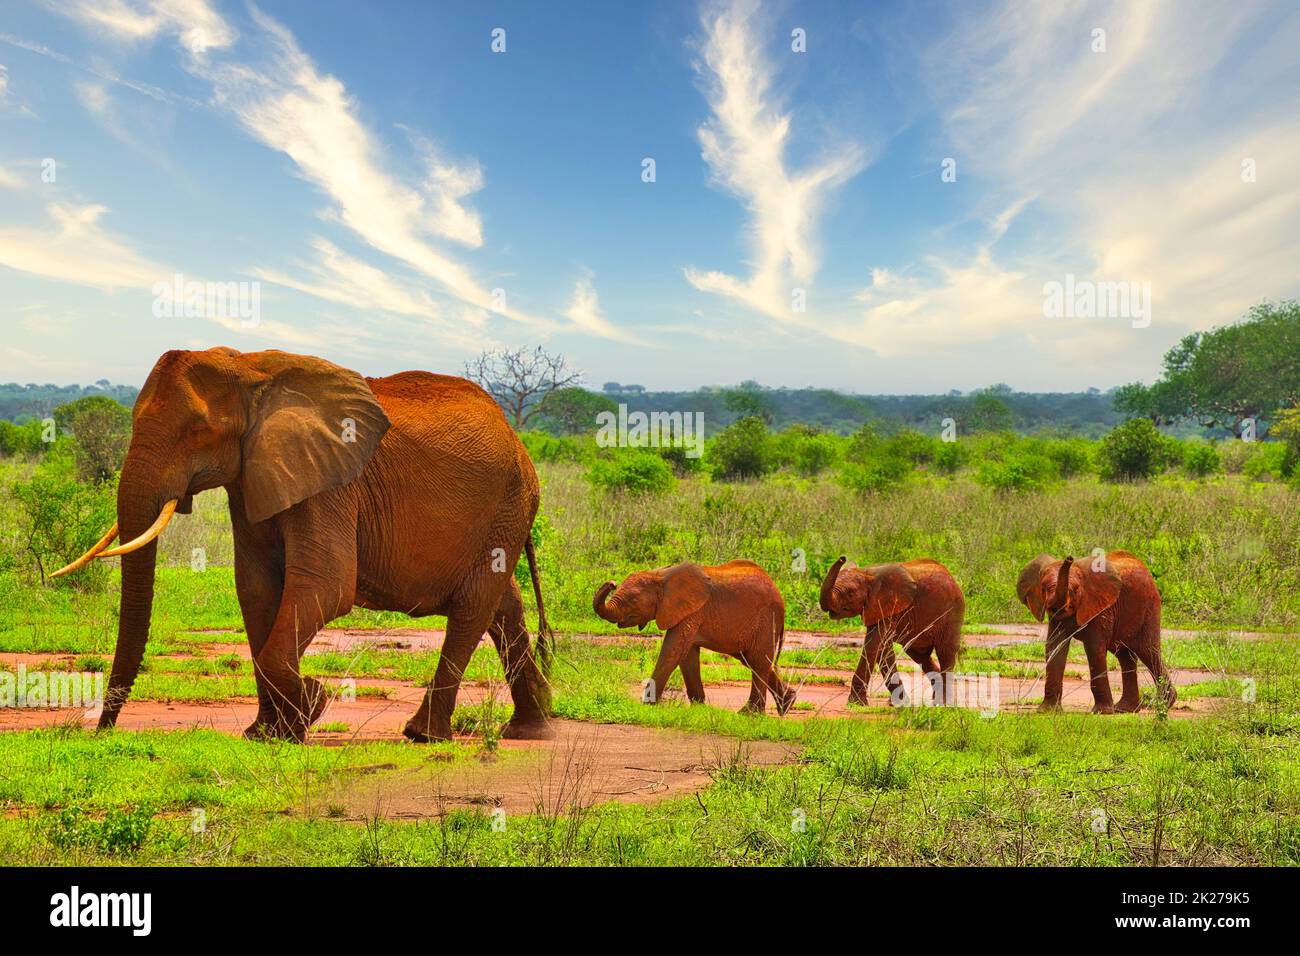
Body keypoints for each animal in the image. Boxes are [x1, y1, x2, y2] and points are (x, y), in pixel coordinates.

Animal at [52, 347, 554, 743]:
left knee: (472, 609)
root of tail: (515, 436)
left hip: (509, 503)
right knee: (503, 606)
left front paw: (311, 703)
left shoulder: (333, 484)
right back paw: (531, 729)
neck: (249, 368)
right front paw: (266, 733)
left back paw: (423, 734)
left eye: (196, 432)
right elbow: (255, 589)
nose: (101, 731)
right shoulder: (250, 475)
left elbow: (325, 586)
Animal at [592, 560, 796, 715]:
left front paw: (648, 705)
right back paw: (786, 704)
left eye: (633, 600)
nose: (612, 583)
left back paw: (749, 714)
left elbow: (672, 651)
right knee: (752, 660)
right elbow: (686, 656)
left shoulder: (692, 611)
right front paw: (699, 708)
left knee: (758, 661)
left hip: (767, 619)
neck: (661, 575)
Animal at [819, 557, 965, 706]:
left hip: (953, 613)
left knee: (945, 652)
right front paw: (901, 703)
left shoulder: (889, 605)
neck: (867, 574)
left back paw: (944, 704)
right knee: (920, 656)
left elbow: (873, 645)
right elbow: (883, 648)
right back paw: (935, 701)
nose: (842, 558)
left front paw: (856, 704)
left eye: (850, 593)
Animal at [1017, 551, 1175, 714]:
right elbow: (1055, 647)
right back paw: (1124, 709)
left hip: (1149, 607)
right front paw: (1047, 711)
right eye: (1043, 588)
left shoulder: (1100, 608)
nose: (1069, 558)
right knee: (1125, 656)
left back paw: (1164, 704)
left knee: (1148, 651)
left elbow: (1094, 649)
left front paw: (1102, 712)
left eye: (1075, 590)